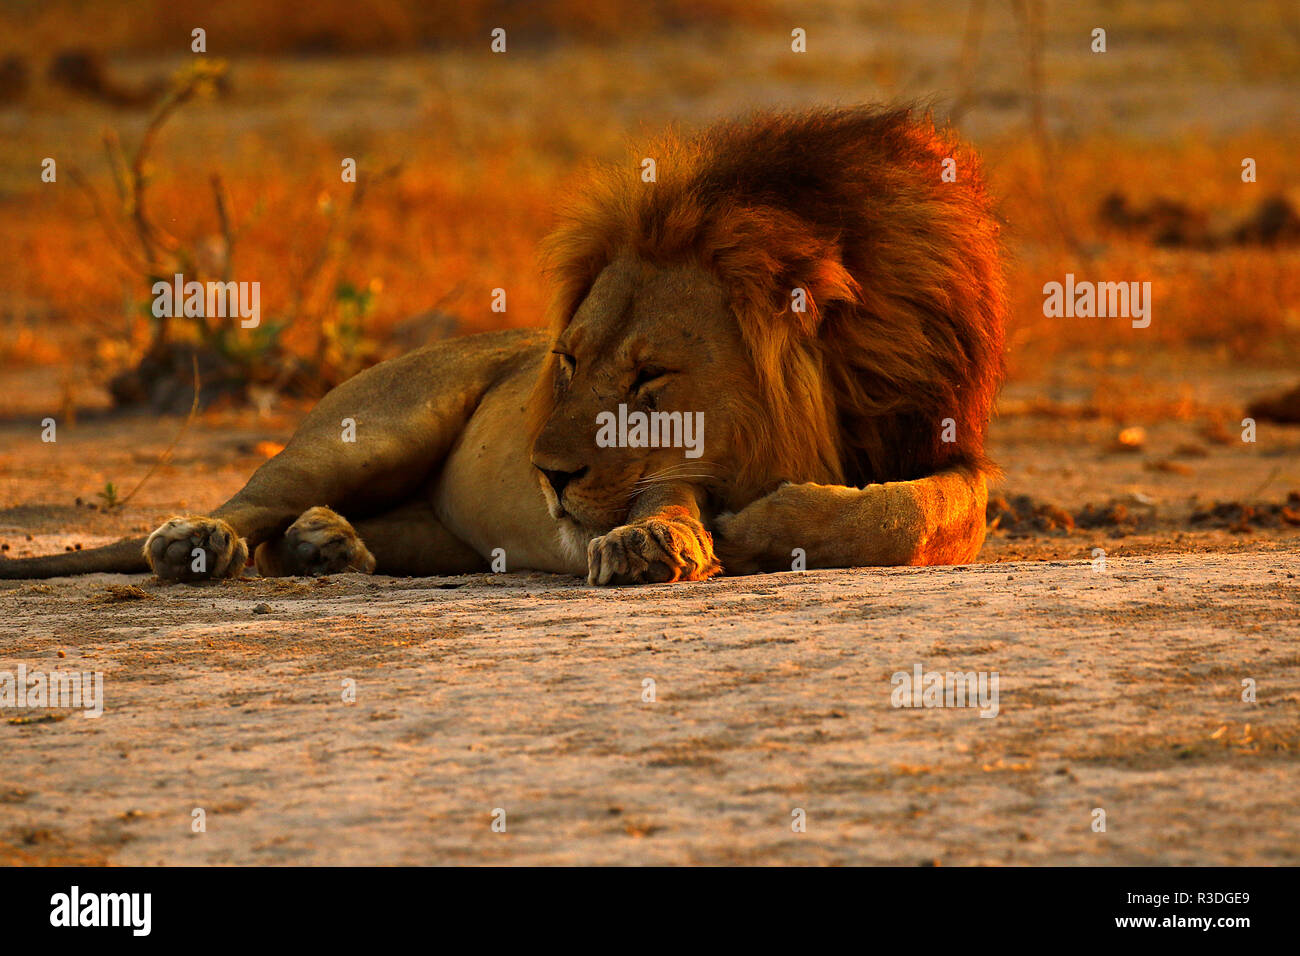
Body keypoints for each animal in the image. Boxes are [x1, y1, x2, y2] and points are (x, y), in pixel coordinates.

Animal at [1, 106, 1005, 586]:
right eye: (569, 360)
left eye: (650, 376)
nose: (544, 476)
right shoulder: (674, 469)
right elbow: (673, 494)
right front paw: (677, 539)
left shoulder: (947, 443)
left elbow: (917, 512)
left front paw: (767, 524)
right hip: (373, 433)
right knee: (247, 503)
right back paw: (198, 543)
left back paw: (326, 548)